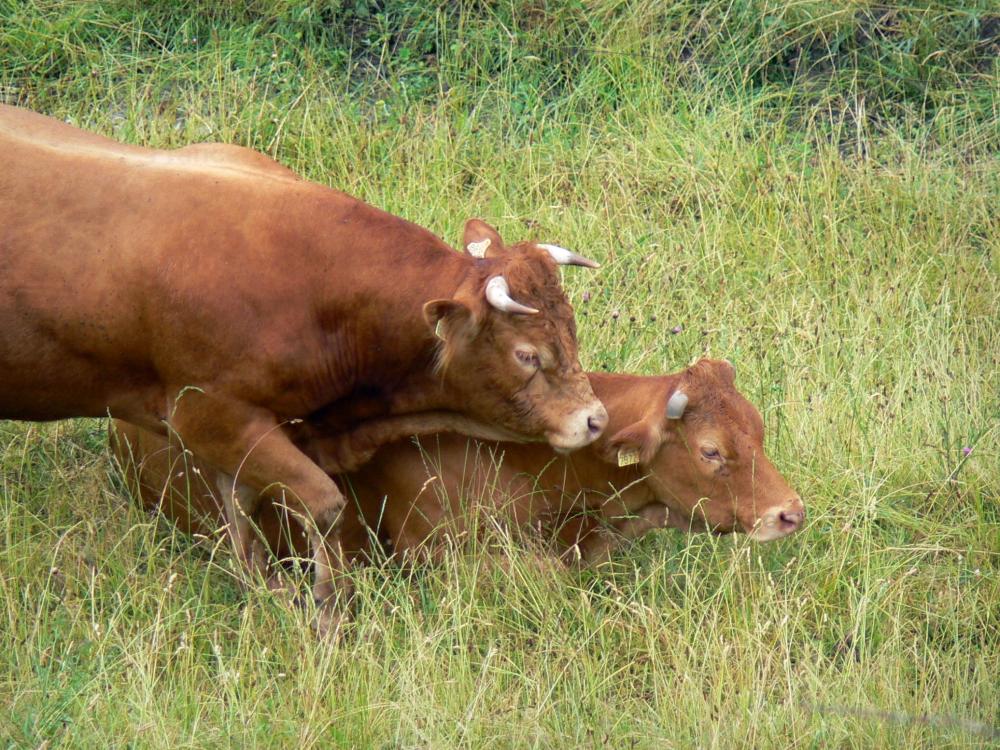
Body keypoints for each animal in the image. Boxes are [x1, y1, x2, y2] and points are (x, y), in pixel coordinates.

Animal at [0, 104, 607, 634]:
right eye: (527, 354)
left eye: (571, 328)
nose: (595, 419)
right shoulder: (208, 414)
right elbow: (323, 504)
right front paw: (327, 610)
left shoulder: (235, 432)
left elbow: (241, 509)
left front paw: (266, 590)